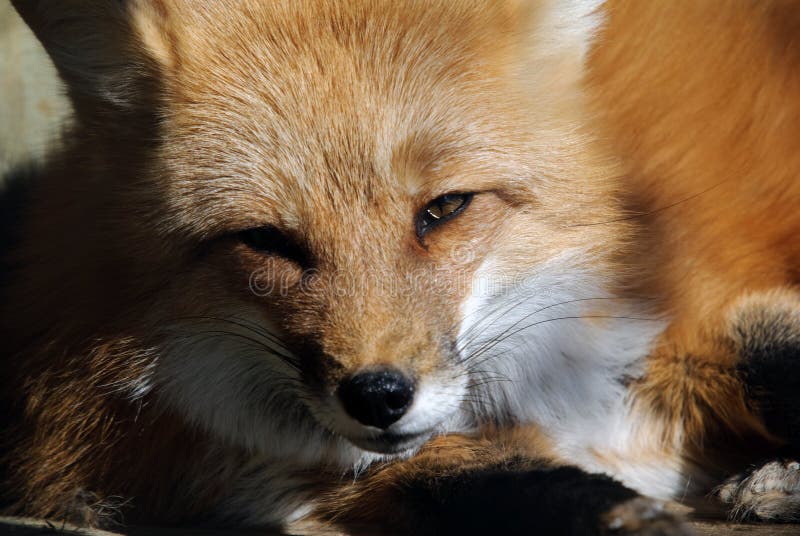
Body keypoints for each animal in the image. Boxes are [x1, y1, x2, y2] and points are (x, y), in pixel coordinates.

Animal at [1, 0, 799, 534]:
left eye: (443, 209)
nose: (378, 395)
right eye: (268, 241)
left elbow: (771, 359)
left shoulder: (676, 310)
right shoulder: (306, 474)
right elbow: (506, 484)